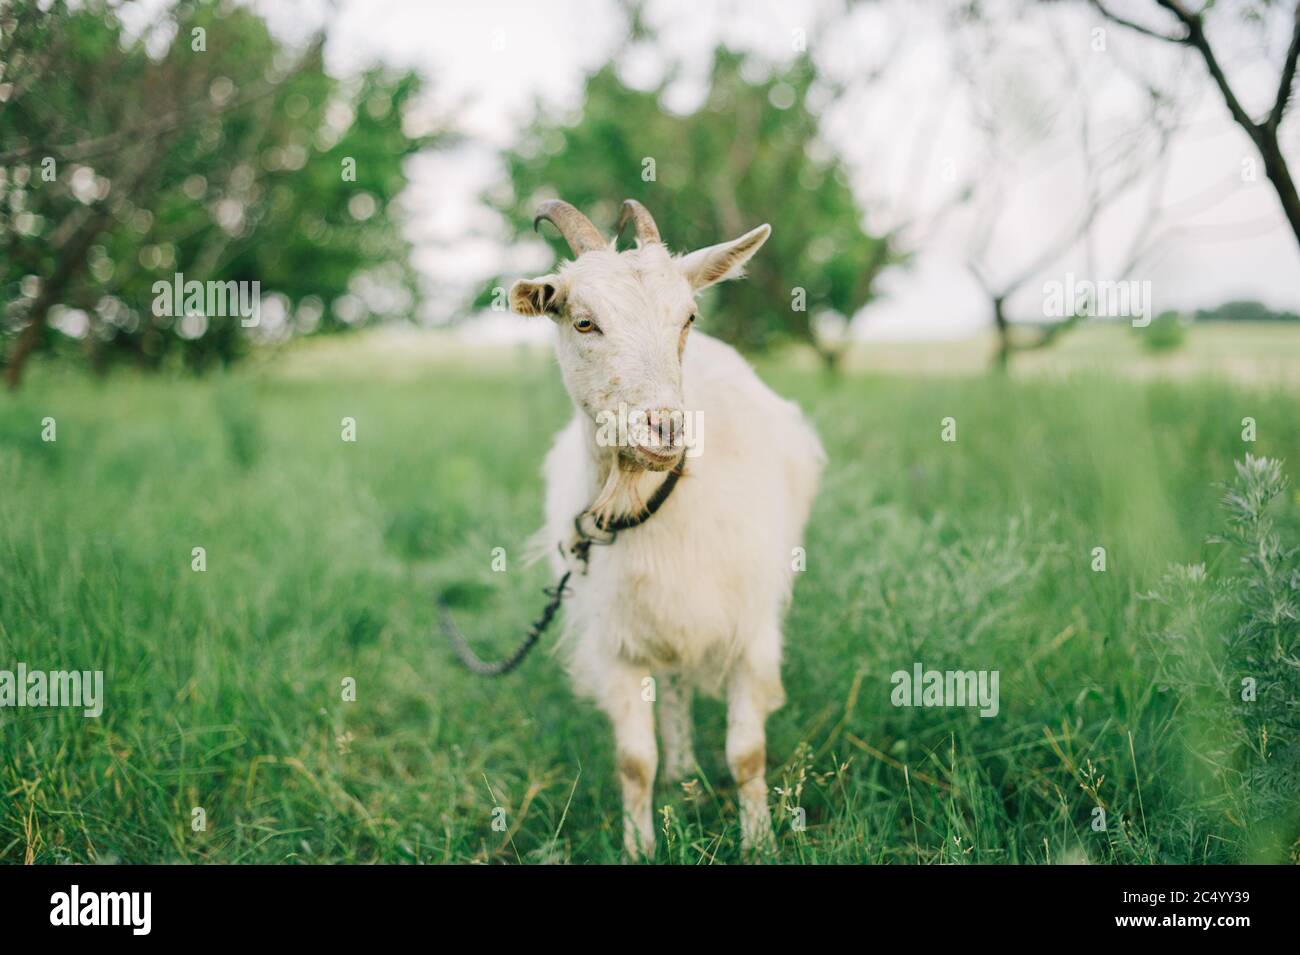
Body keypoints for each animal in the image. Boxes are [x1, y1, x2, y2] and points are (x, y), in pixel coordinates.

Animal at [509, 198, 825, 858]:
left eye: (689, 316)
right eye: (583, 322)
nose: (665, 429)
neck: (650, 505)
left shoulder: (749, 626)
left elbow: (748, 754)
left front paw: (759, 844)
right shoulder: (618, 640)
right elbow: (634, 762)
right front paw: (640, 848)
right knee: (674, 688)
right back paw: (682, 773)